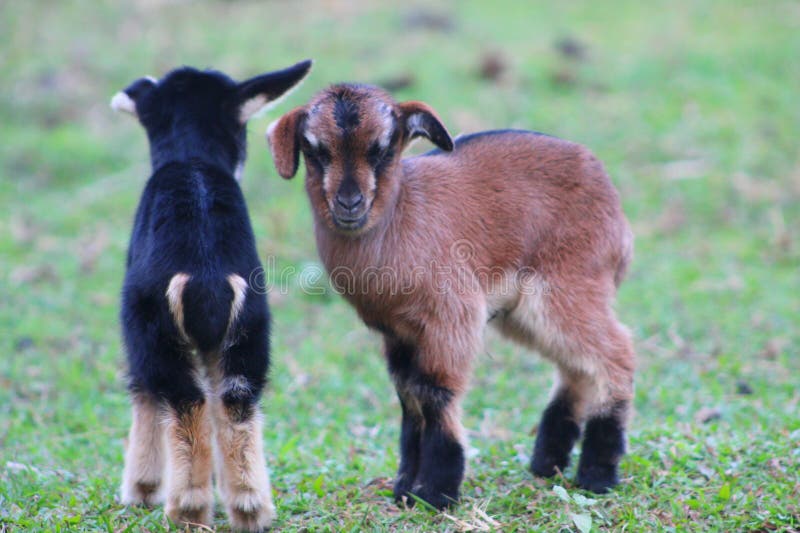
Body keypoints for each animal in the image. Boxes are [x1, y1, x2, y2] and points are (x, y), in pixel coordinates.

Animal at [111, 60, 311, 530]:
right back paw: (250, 508)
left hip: (156, 335)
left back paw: (185, 508)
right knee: (236, 407)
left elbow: (144, 400)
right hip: (249, 334)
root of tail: (206, 277)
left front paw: (141, 491)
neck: (192, 156)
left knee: (187, 404)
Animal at [267, 84, 635, 509]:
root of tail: (617, 212)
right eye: (315, 150)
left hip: (567, 287)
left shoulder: (451, 317)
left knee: (617, 353)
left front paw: (436, 492)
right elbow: (409, 395)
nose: (349, 203)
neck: (400, 220)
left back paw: (597, 474)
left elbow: (435, 392)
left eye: (383, 148)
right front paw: (405, 489)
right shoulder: (398, 333)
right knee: (576, 367)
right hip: (525, 312)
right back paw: (548, 464)